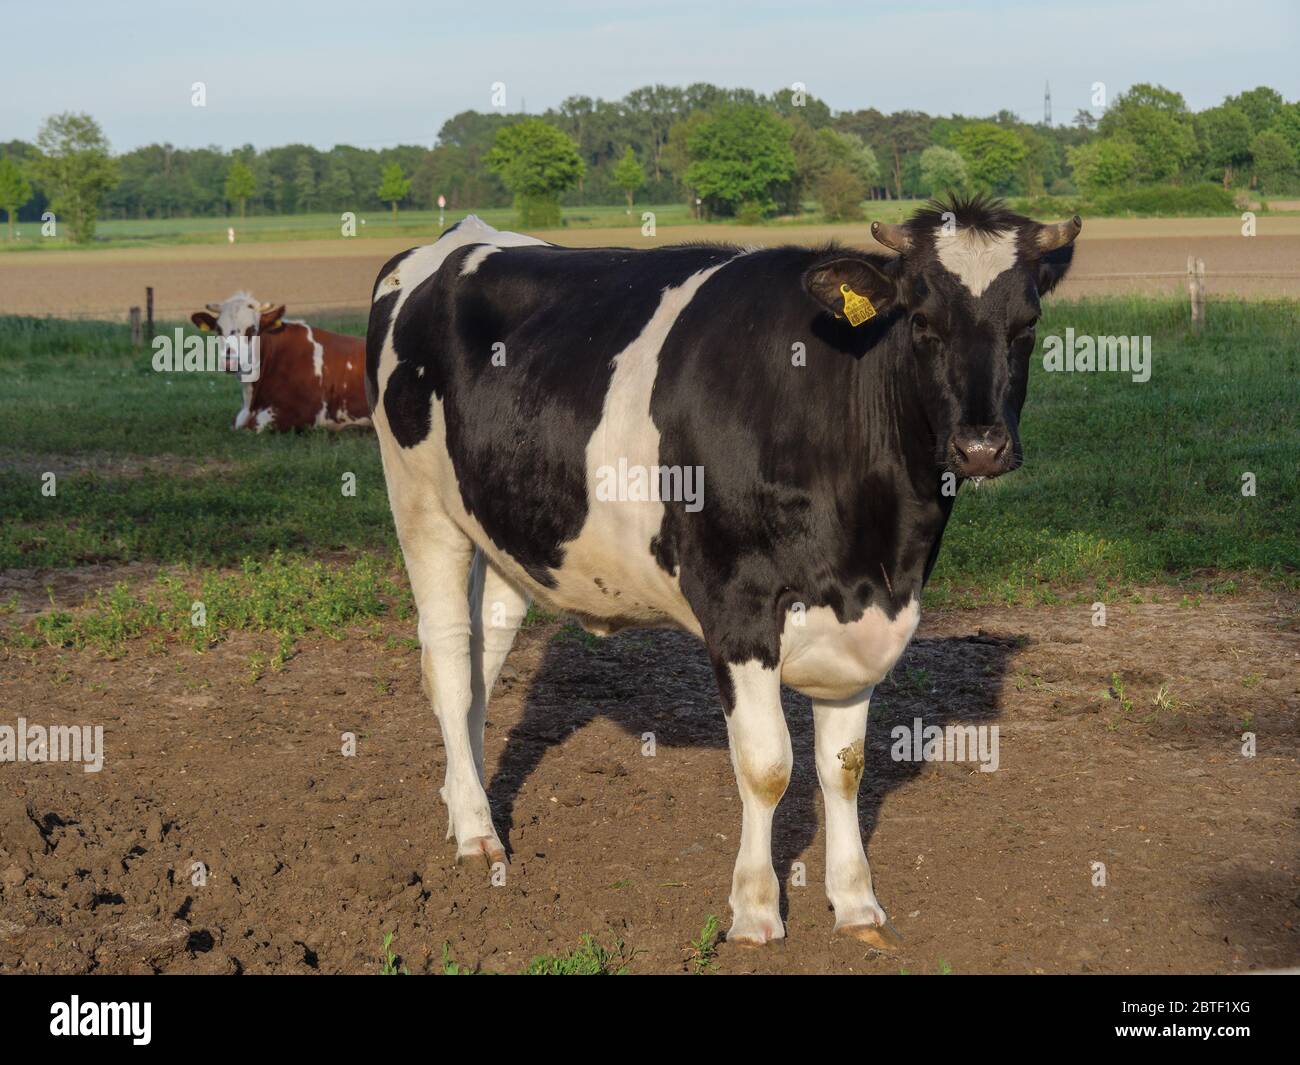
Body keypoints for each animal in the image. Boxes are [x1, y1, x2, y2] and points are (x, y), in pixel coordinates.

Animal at [365, 202, 1079, 947]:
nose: (981, 447)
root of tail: (461, 236)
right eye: (920, 320)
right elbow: (767, 766)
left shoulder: (868, 615)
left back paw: (464, 798)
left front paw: (855, 902)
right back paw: (477, 835)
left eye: (1028, 324)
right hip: (421, 506)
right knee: (449, 661)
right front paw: (755, 909)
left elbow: (844, 768)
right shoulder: (738, 604)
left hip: (513, 534)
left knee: (483, 660)